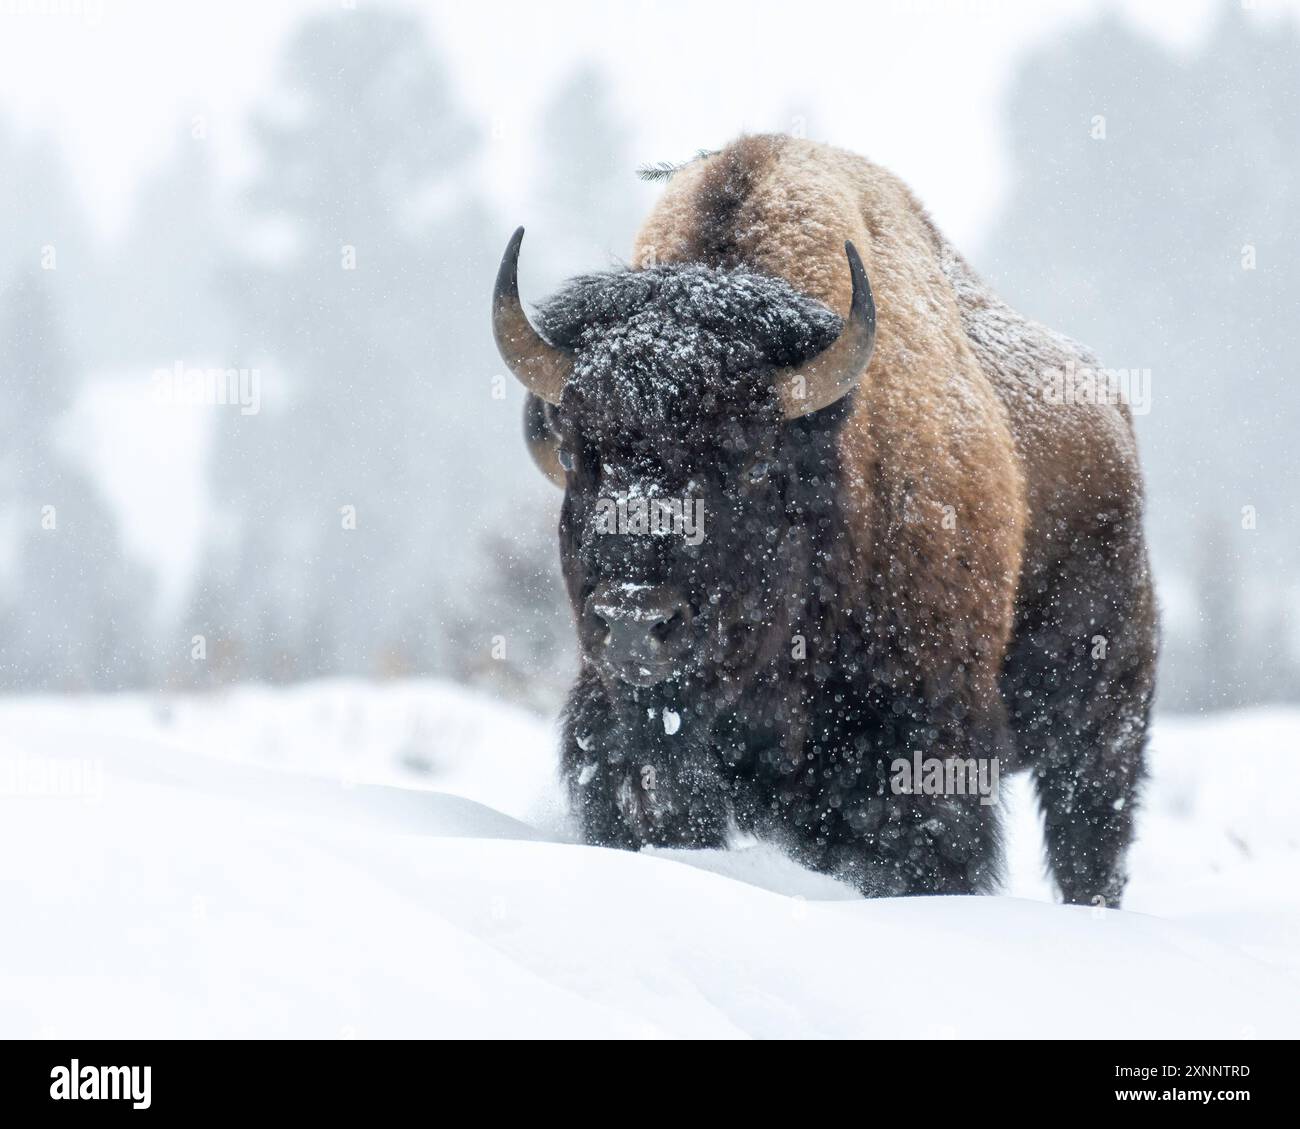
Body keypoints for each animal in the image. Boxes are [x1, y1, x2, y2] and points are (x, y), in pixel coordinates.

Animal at [493, 135, 1157, 905]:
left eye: (752, 460)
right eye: (578, 452)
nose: (634, 620)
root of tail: (1113, 416)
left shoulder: (918, 762)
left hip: (1104, 718)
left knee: (1091, 836)